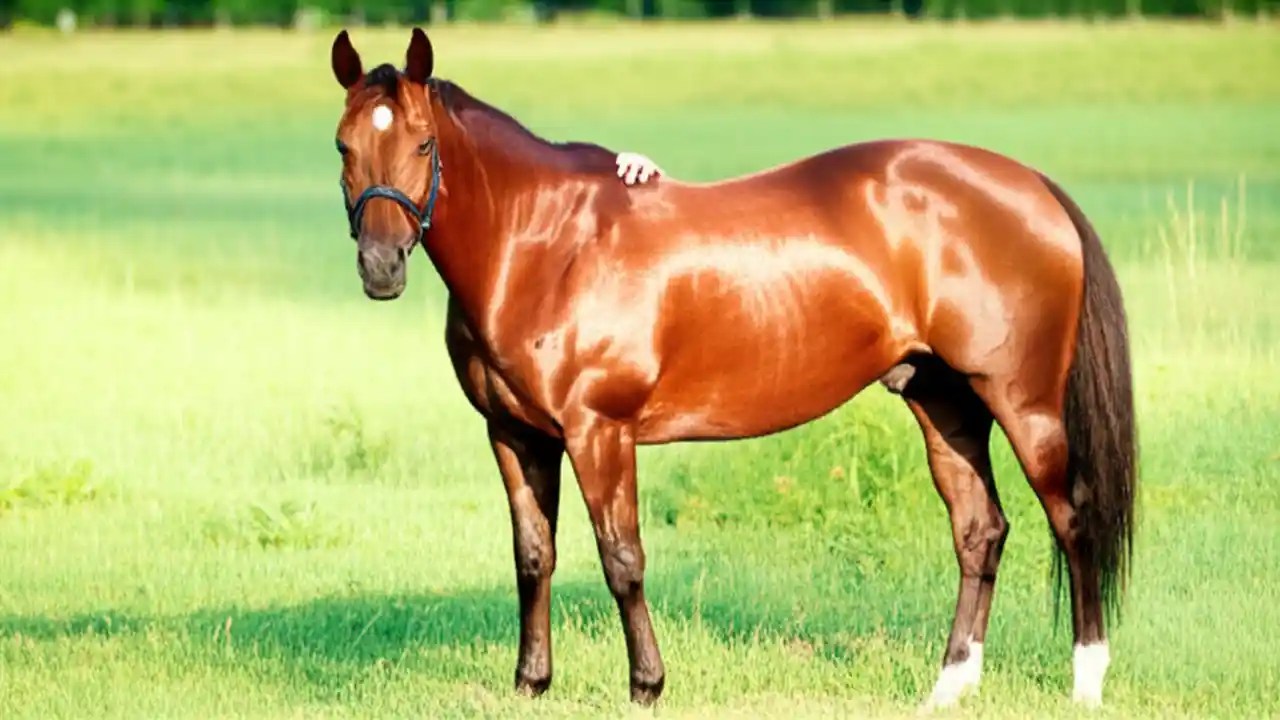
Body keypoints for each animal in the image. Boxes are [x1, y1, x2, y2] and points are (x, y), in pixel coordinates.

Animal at [328, 28, 1137, 711]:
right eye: (342, 146)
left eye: (423, 143)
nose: (379, 266)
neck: (546, 244)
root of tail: (1028, 182)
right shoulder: (514, 435)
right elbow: (534, 555)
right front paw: (532, 683)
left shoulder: (600, 434)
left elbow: (622, 558)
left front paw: (646, 685)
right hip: (944, 402)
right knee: (979, 529)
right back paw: (949, 687)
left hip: (1024, 404)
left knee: (1072, 519)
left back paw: (1087, 682)